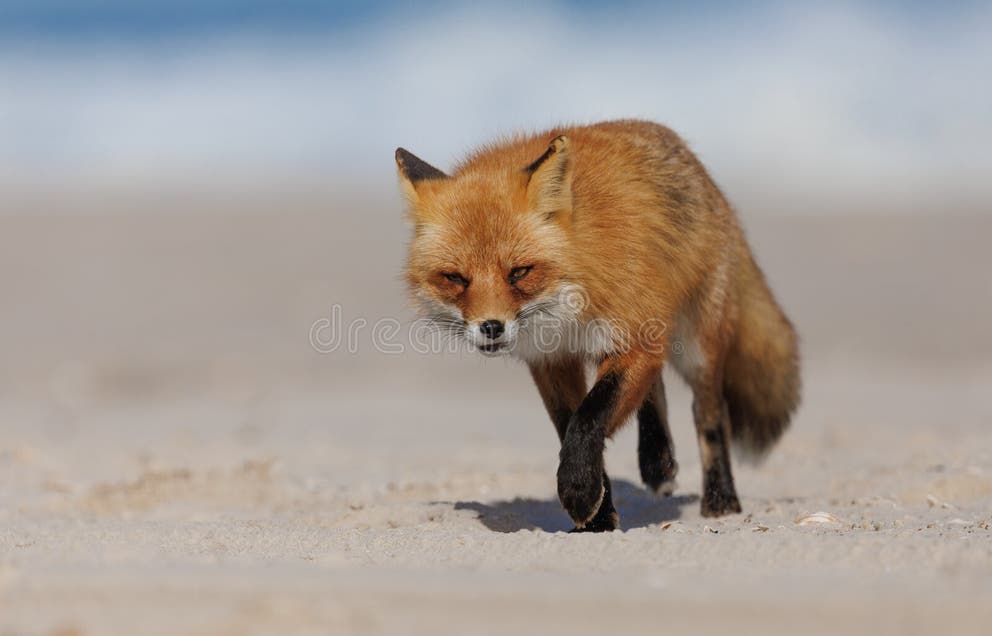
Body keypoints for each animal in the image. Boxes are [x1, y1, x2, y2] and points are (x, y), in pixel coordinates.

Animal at [395, 119, 800, 531]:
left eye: (519, 272)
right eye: (456, 279)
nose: (491, 327)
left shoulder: (634, 337)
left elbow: (589, 418)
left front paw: (578, 489)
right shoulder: (551, 360)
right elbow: (570, 426)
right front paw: (597, 516)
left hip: (697, 345)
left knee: (710, 413)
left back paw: (720, 497)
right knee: (656, 391)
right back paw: (658, 463)